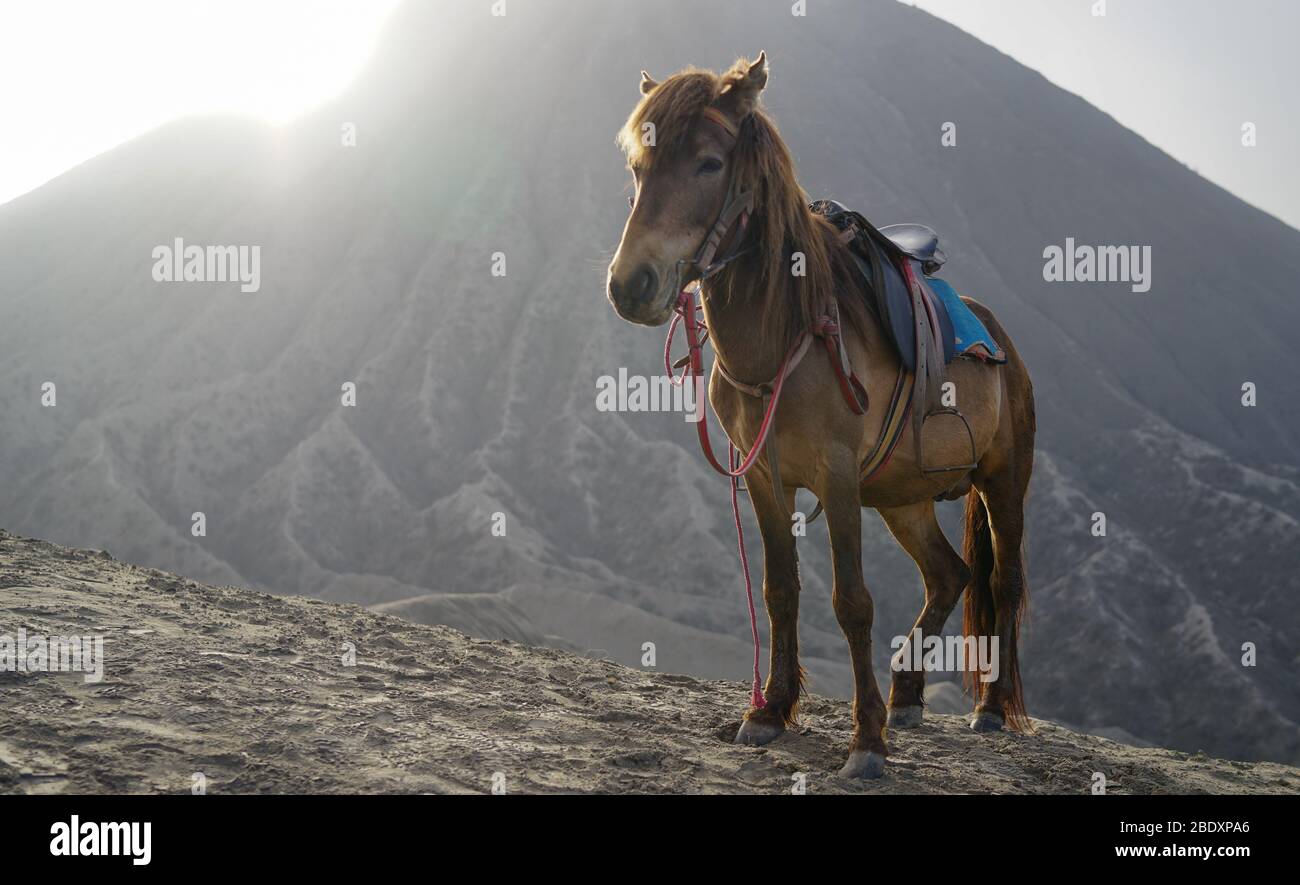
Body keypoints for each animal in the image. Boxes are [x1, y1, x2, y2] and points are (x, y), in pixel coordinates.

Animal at [605, 53, 1036, 779]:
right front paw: (769, 711)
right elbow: (781, 588)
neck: (785, 329)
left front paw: (864, 742)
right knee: (949, 573)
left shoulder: (836, 478)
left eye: (709, 163)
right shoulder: (764, 476)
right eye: (637, 167)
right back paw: (908, 696)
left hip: (1001, 483)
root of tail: (1001, 337)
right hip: (902, 497)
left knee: (1002, 582)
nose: (630, 285)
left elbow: (852, 601)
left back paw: (989, 707)